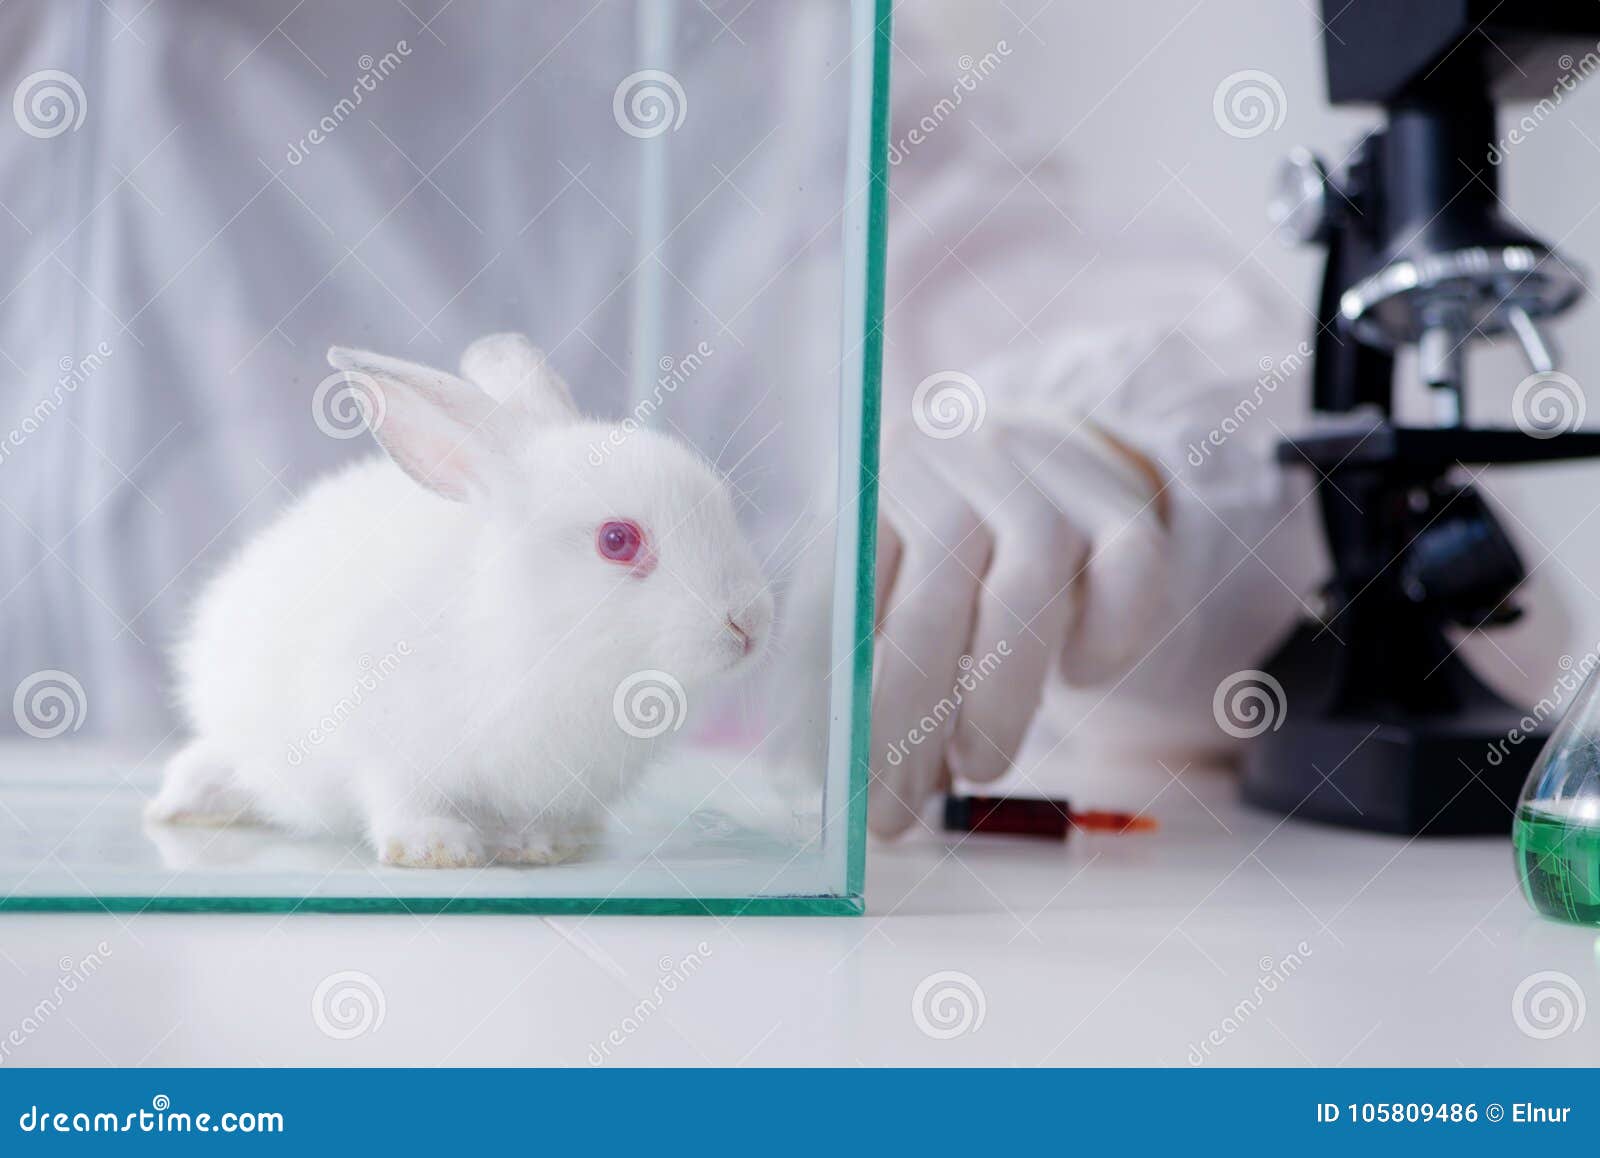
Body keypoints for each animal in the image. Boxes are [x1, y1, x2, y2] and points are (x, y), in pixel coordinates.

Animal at [146, 333, 775, 868]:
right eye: (617, 541)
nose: (749, 624)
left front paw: (547, 846)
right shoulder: (382, 741)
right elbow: (400, 800)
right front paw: (436, 849)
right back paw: (176, 808)